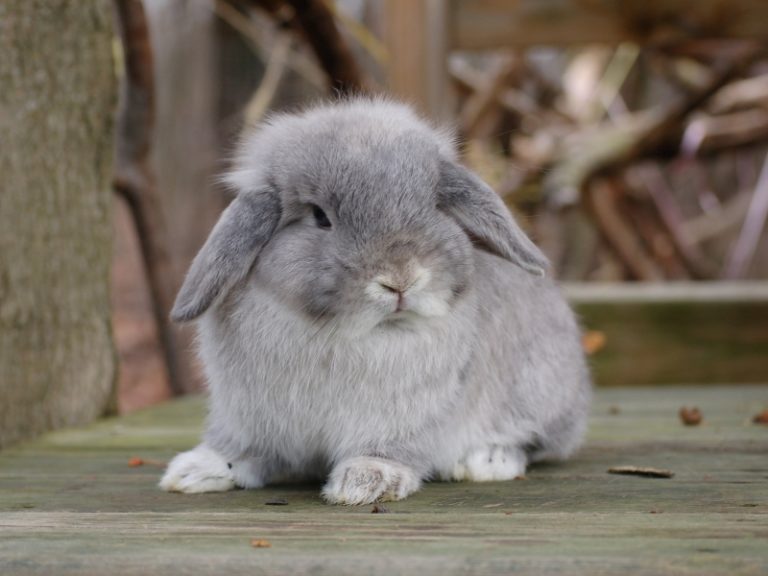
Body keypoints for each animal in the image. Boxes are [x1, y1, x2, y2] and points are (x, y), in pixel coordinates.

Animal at [159, 98, 591, 504]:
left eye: (433, 207)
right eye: (320, 216)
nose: (400, 279)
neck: (338, 332)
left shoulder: (407, 419)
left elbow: (389, 449)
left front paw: (366, 481)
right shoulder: (246, 416)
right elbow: (241, 449)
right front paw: (196, 470)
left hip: (539, 390)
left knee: (535, 441)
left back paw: (487, 459)